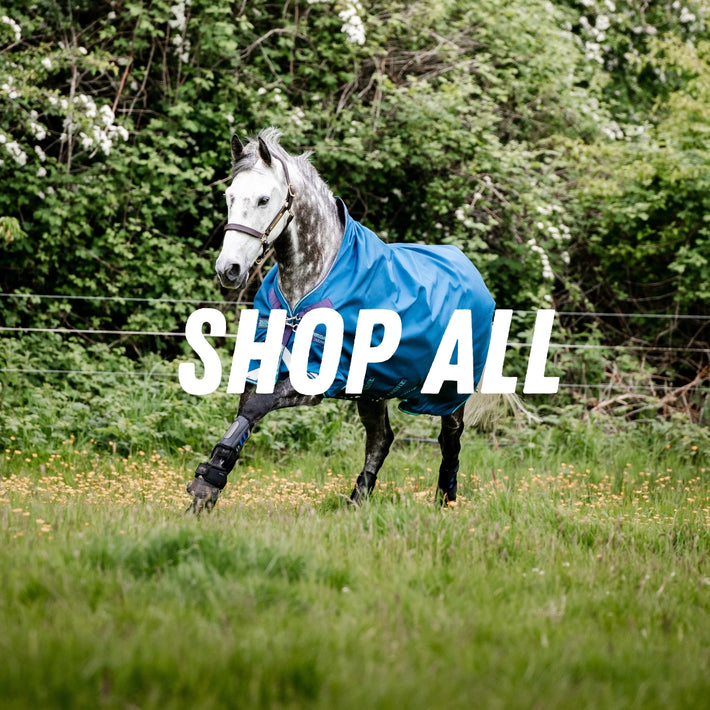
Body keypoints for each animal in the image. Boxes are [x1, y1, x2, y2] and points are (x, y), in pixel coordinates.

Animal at [186, 128, 498, 513]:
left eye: (263, 200)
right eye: (229, 196)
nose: (228, 270)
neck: (305, 291)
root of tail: (474, 276)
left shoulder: (317, 378)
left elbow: (257, 406)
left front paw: (205, 486)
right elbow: (246, 412)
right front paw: (207, 490)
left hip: (449, 390)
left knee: (449, 438)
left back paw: (445, 501)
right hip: (373, 390)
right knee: (381, 439)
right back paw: (357, 501)